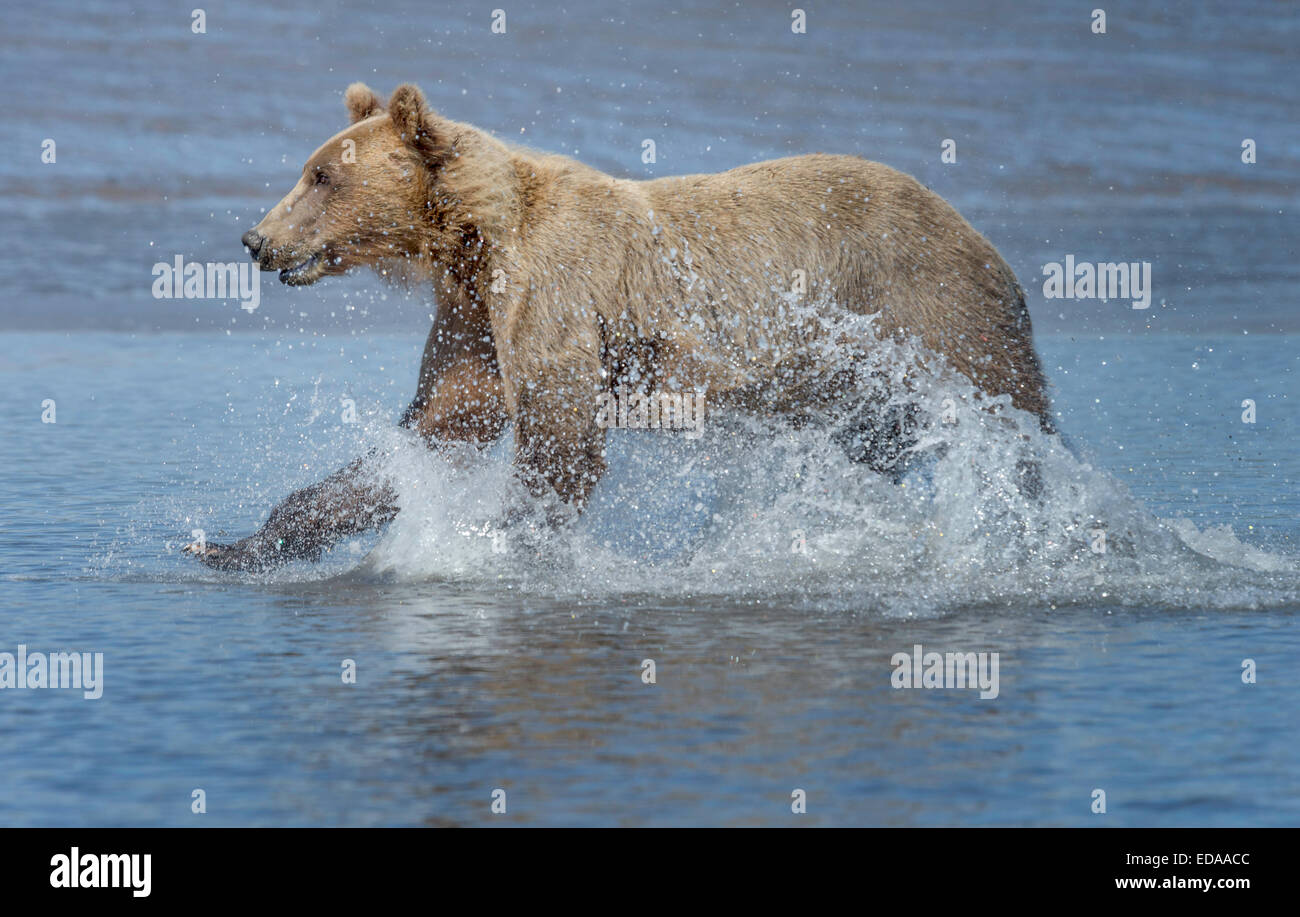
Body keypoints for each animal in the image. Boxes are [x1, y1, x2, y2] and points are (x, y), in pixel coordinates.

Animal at [185, 82, 1052, 571]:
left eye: (320, 176)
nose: (256, 239)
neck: (468, 238)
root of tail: (988, 238)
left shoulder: (552, 298)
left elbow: (558, 444)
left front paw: (488, 538)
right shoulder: (472, 319)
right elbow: (439, 424)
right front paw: (231, 543)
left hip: (931, 309)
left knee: (1015, 420)